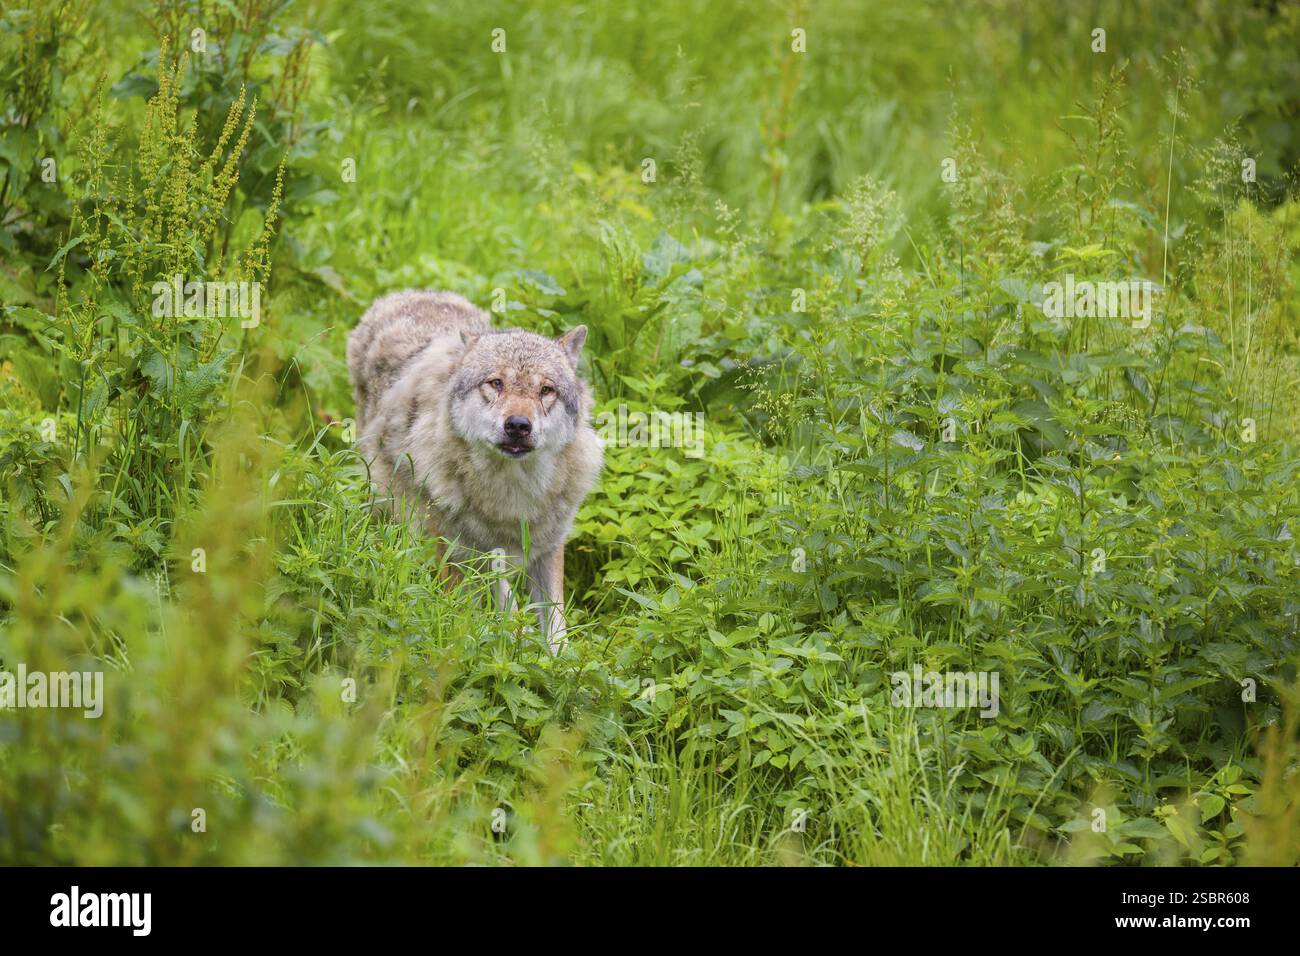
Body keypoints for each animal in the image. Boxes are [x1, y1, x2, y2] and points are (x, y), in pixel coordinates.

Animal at [347, 290, 603, 653]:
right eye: (495, 383)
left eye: (546, 390)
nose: (518, 425)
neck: (511, 495)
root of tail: (413, 293)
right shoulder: (457, 554)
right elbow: (490, 609)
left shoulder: (548, 549)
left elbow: (555, 625)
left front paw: (559, 662)